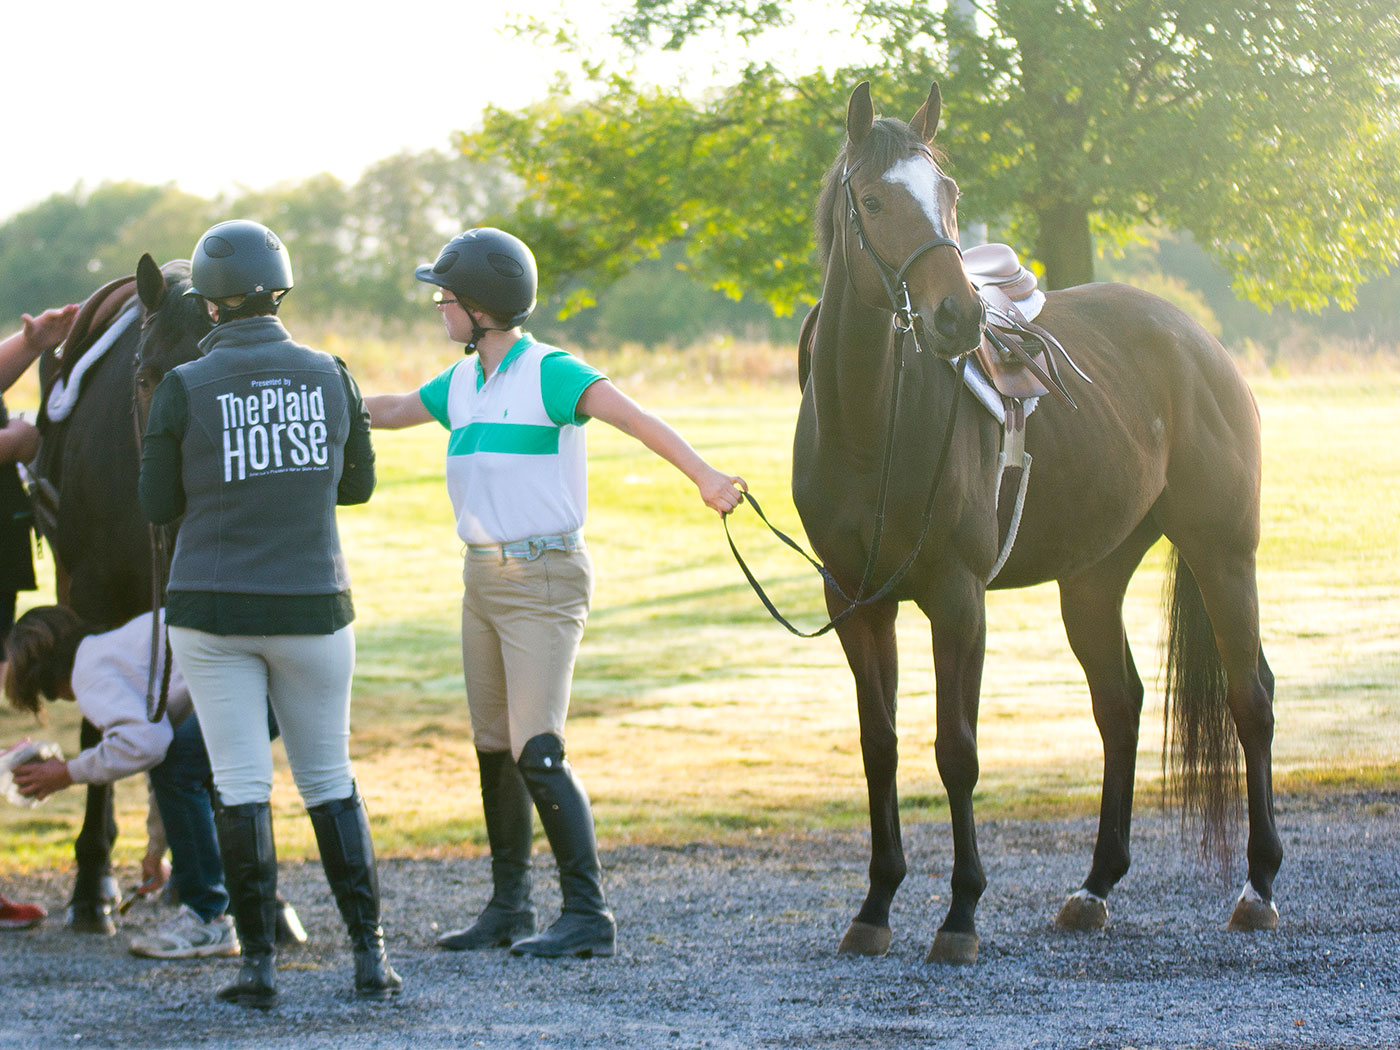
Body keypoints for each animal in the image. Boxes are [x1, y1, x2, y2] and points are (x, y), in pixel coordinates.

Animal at [790, 82, 1280, 964]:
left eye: (948, 195)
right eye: (873, 200)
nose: (955, 317)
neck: (872, 424)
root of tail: (1199, 341)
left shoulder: (957, 600)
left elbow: (956, 751)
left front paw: (960, 916)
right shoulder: (852, 601)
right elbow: (880, 746)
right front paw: (875, 906)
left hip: (1223, 552)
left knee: (1248, 698)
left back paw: (1257, 889)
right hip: (1092, 578)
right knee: (1119, 704)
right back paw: (1094, 888)